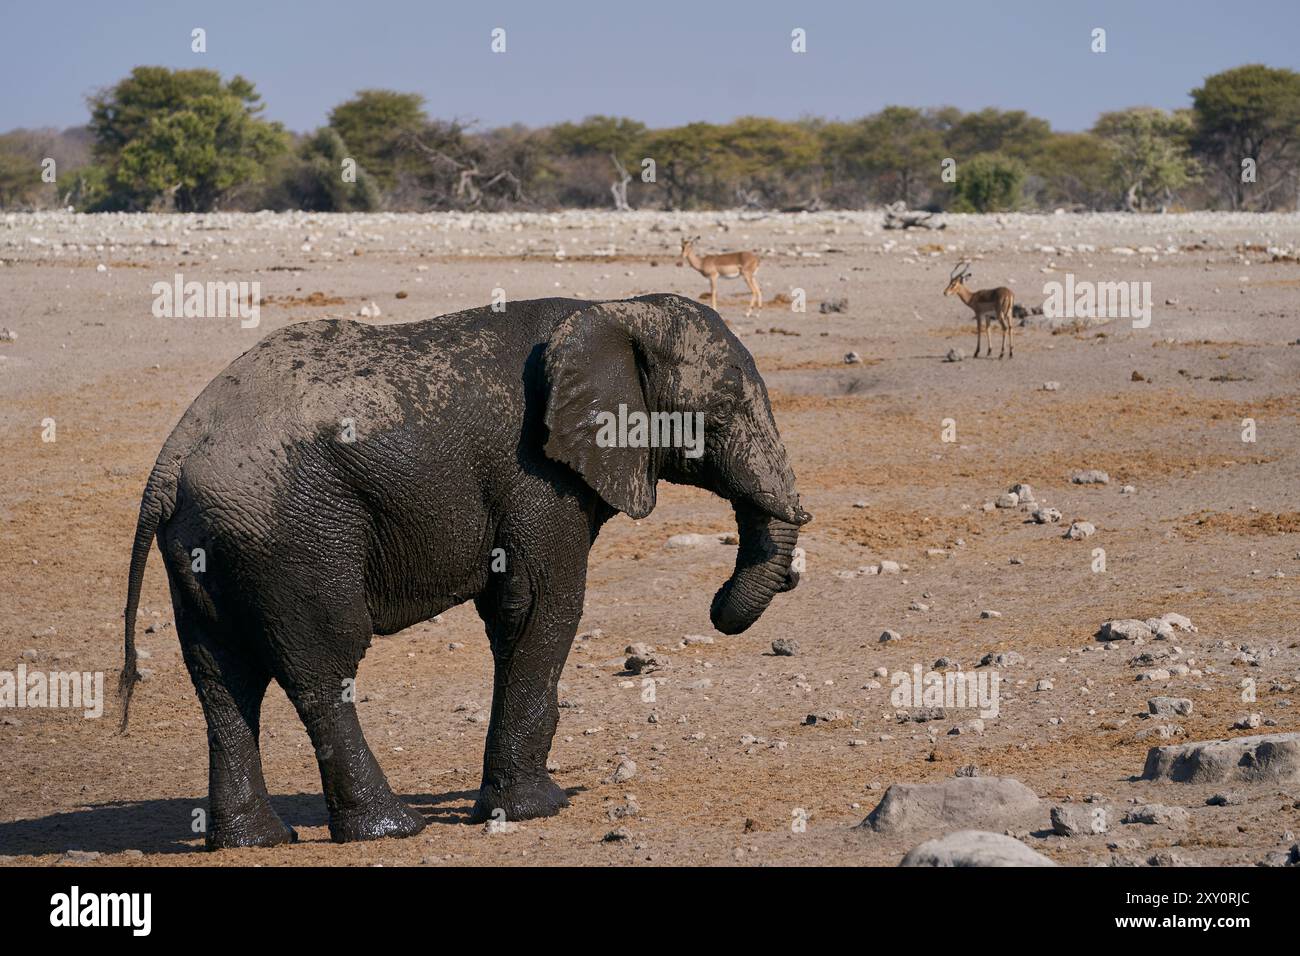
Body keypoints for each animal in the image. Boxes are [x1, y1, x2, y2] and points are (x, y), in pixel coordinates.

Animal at [120, 293, 810, 848]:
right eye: (724, 407)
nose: (718, 606)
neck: (616, 309)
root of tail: (169, 463)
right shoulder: (536, 475)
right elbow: (540, 605)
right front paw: (537, 810)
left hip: (211, 546)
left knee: (222, 677)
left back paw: (254, 840)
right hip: (294, 536)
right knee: (323, 664)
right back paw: (389, 828)